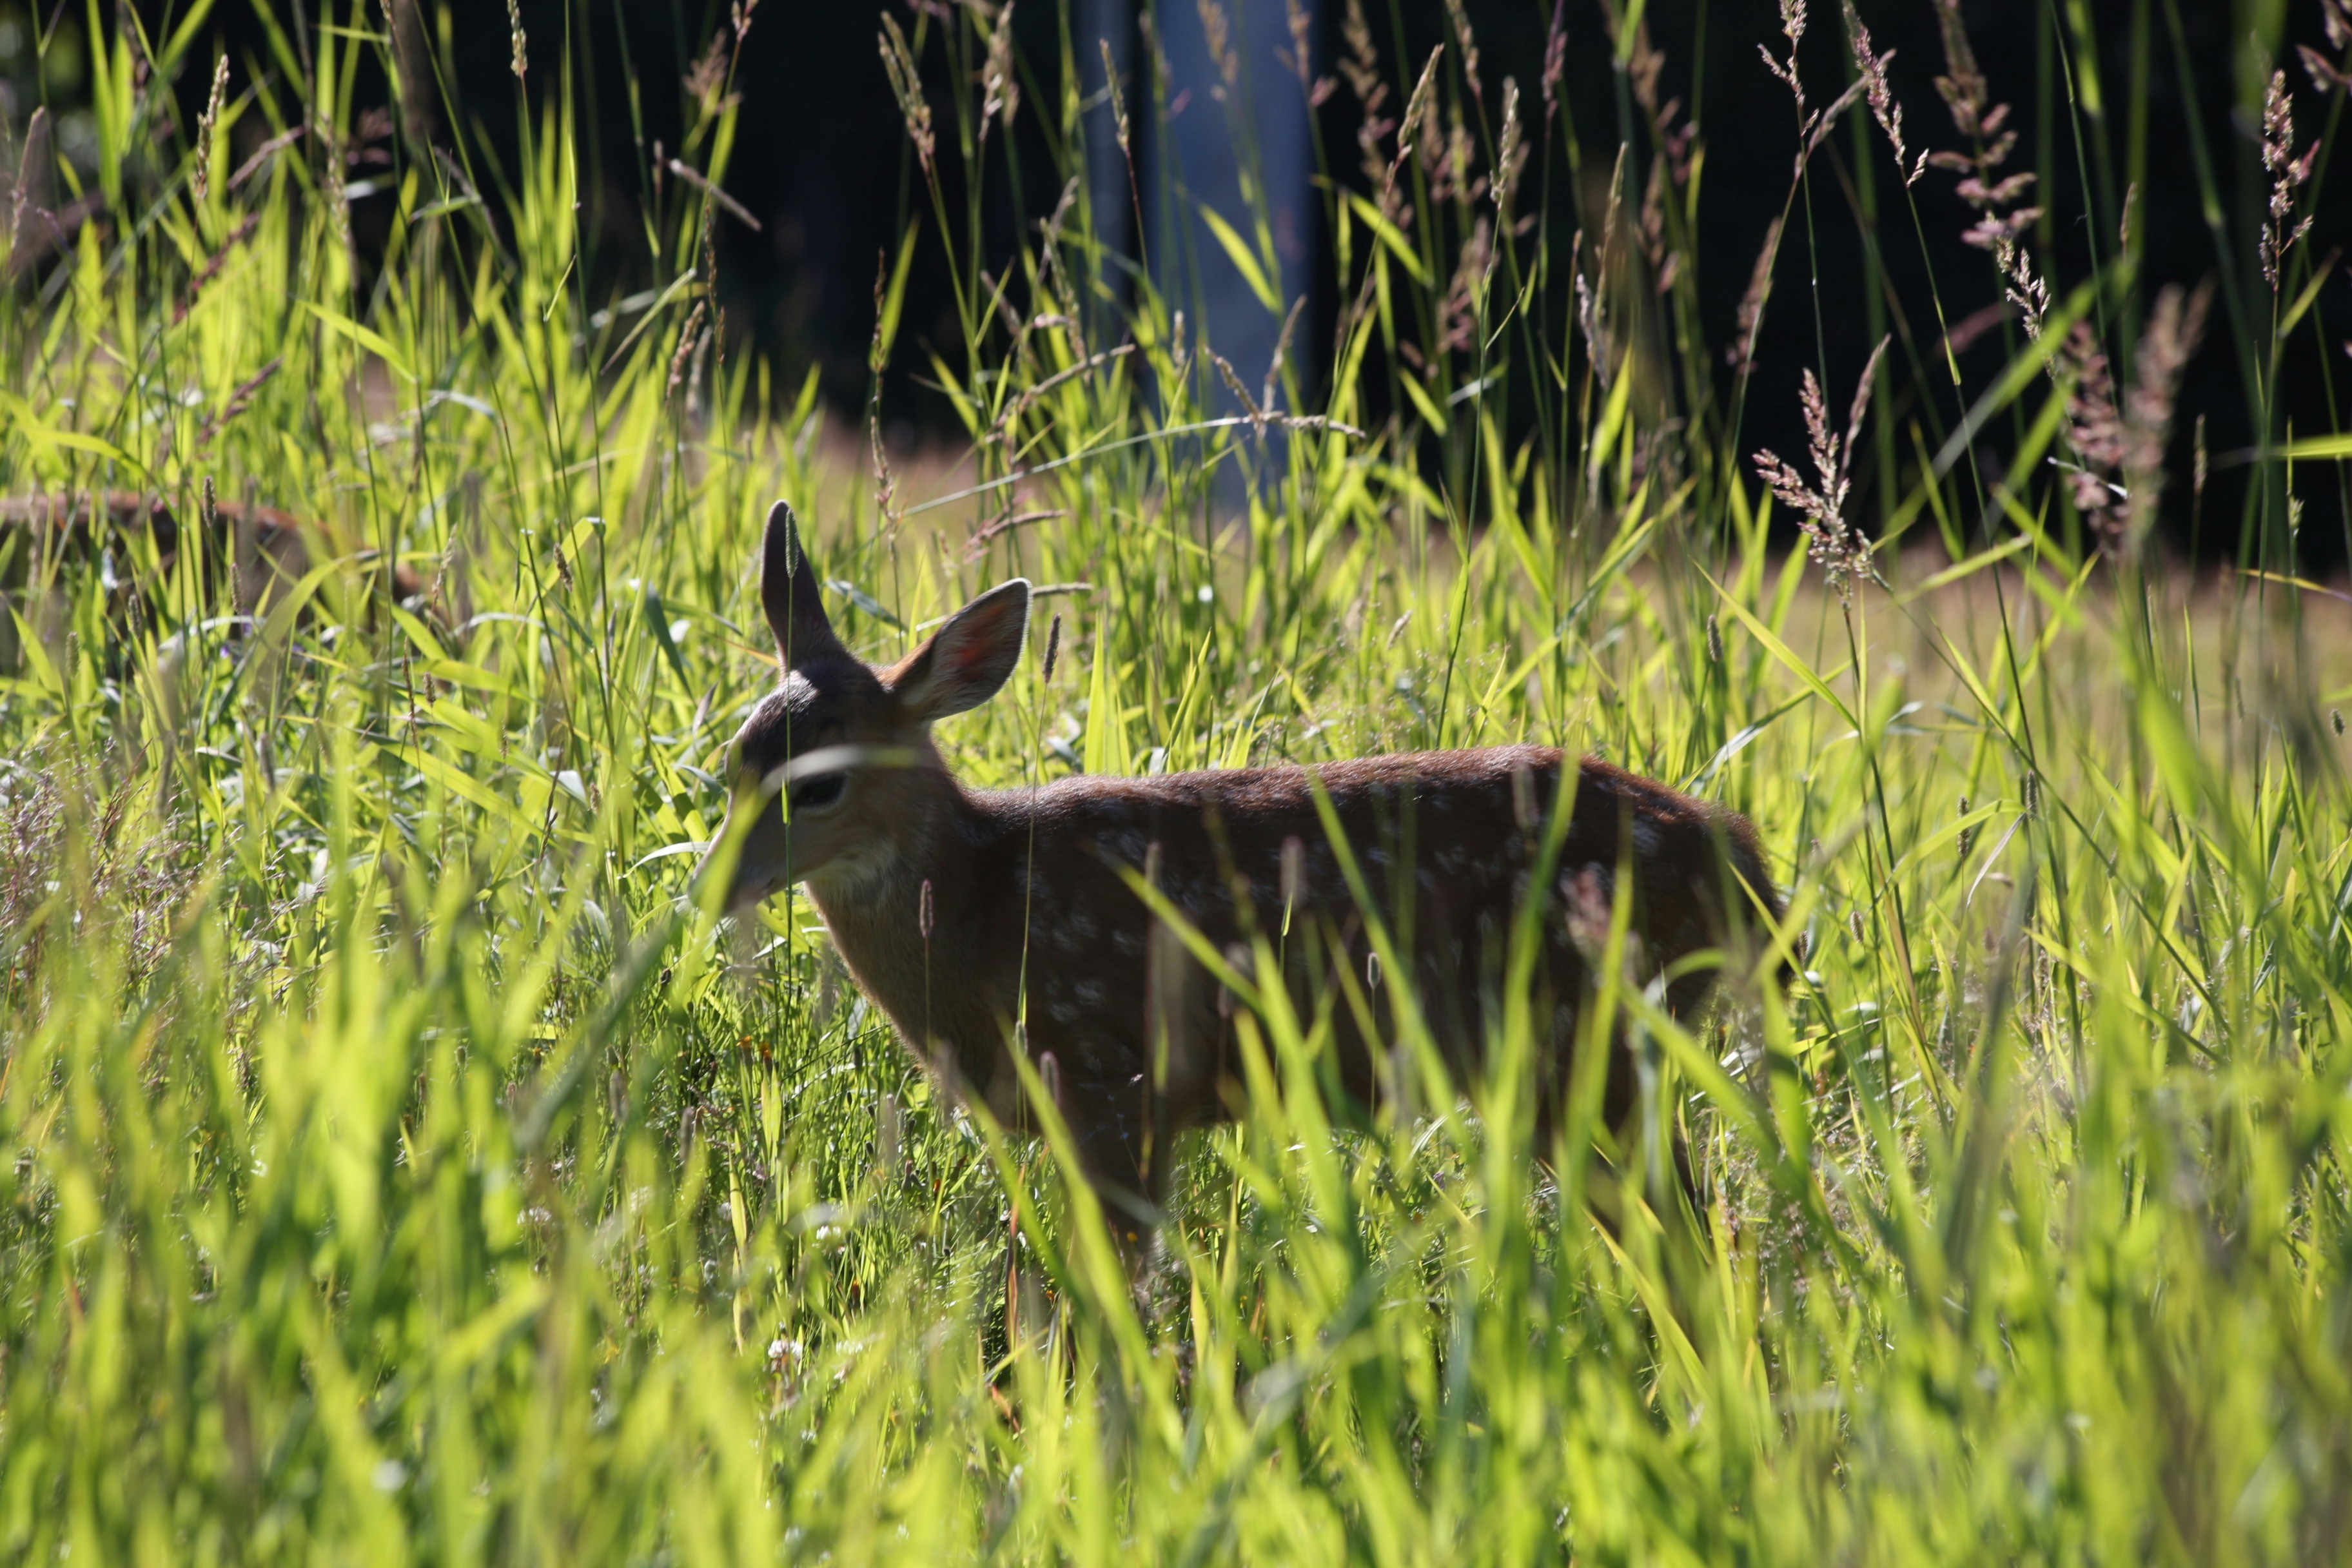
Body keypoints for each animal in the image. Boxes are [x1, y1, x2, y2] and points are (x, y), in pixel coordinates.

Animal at [701, 501, 1784, 1238]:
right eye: (736, 757)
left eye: (822, 783)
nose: (712, 885)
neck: (984, 903)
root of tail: (1742, 860)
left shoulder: (1113, 1081)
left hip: (1586, 1038)